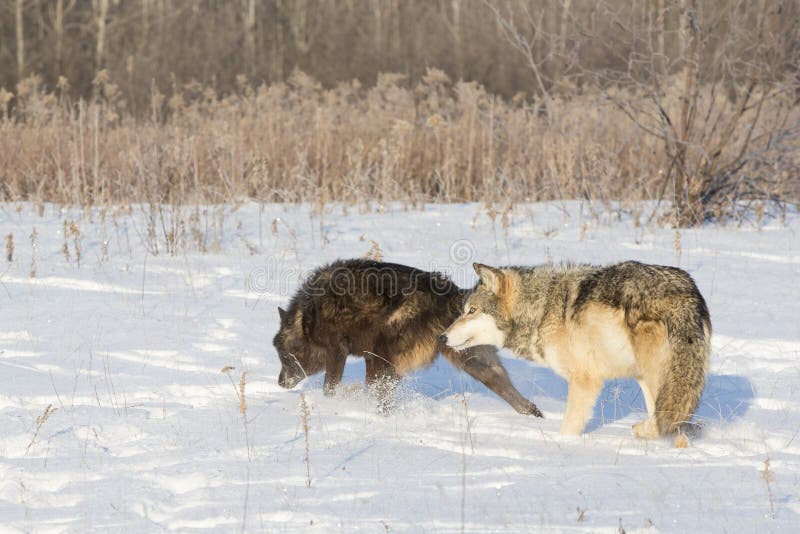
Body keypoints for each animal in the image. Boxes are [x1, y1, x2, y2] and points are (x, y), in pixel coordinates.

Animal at [273, 259, 542, 416]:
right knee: (509, 390)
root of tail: (452, 295)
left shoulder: (337, 350)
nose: (280, 382)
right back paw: (533, 414)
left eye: (284, 356)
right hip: (473, 359)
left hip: (382, 356)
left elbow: (330, 387)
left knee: (383, 397)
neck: (308, 317)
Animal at [440, 261, 711, 440]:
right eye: (464, 310)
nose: (442, 337)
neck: (542, 309)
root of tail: (684, 294)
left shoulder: (584, 381)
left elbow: (569, 427)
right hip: (651, 377)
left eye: (472, 311)